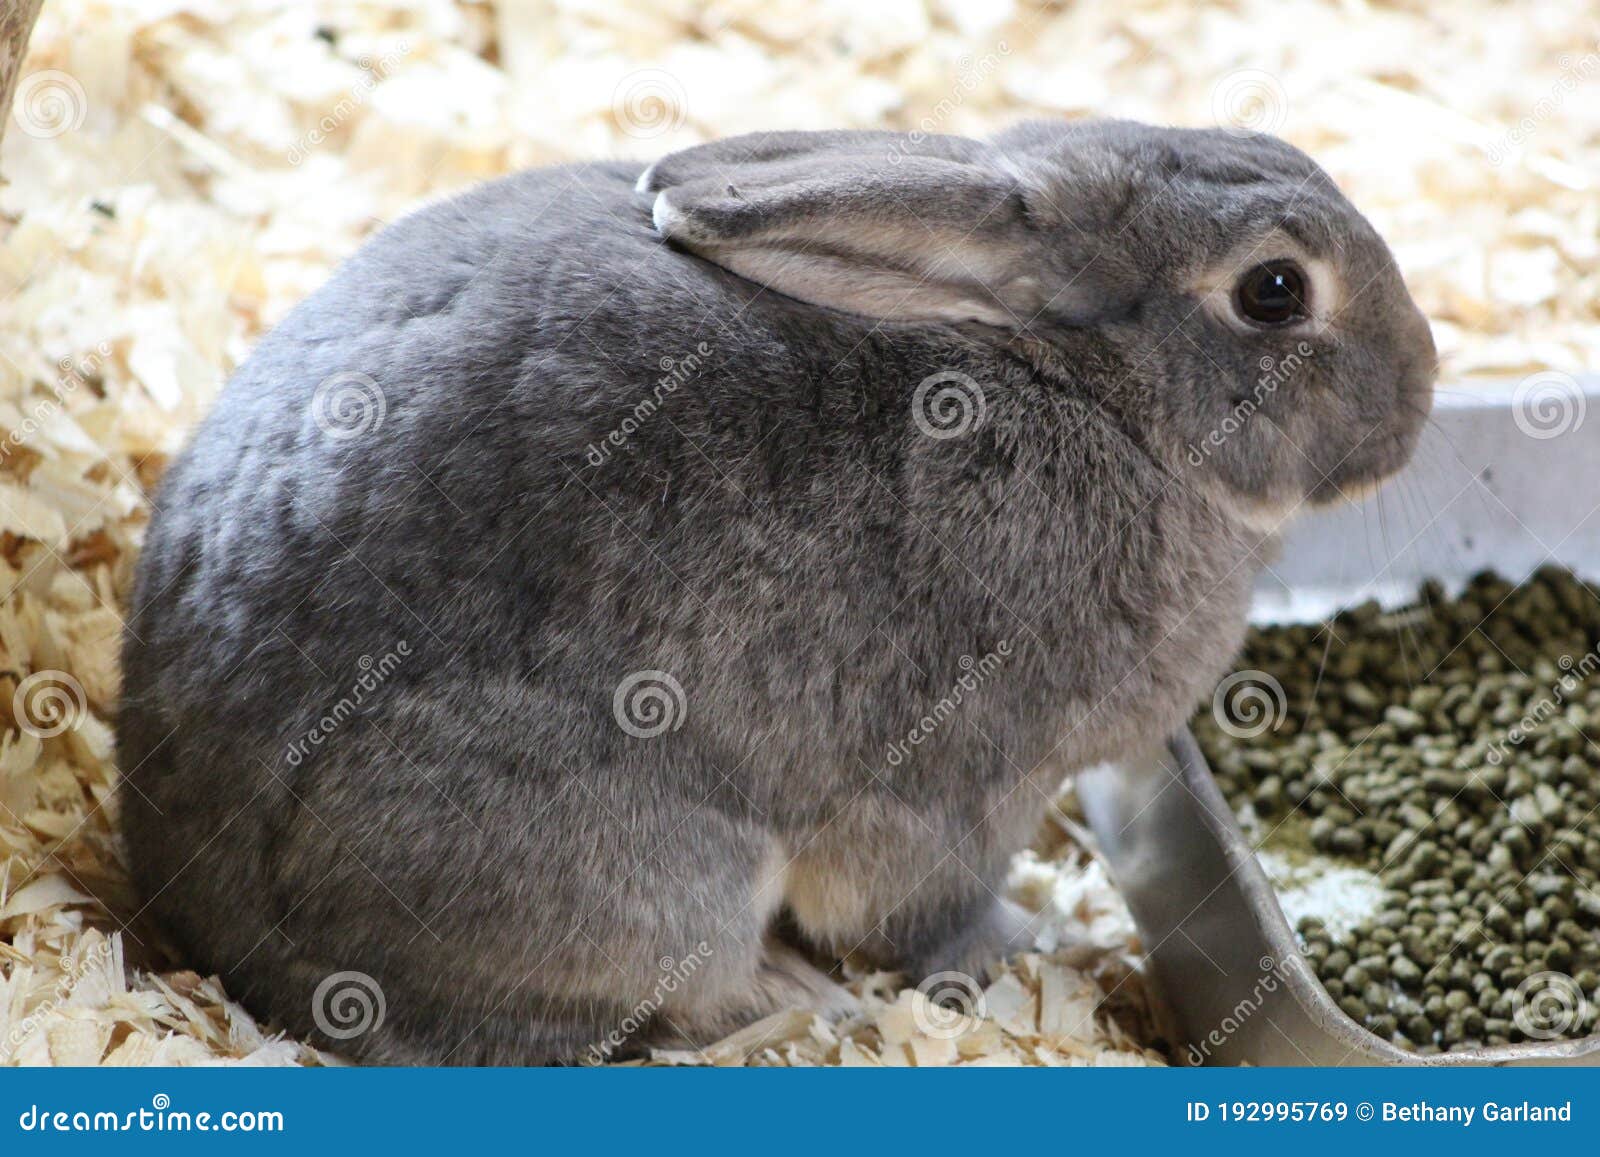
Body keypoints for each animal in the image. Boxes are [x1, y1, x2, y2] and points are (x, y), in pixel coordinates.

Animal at [118, 119, 1436, 1065]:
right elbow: (921, 908)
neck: (1102, 395)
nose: (1422, 391)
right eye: (1274, 290)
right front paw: (1037, 949)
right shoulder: (964, 786)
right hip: (658, 876)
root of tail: (203, 915)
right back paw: (786, 991)